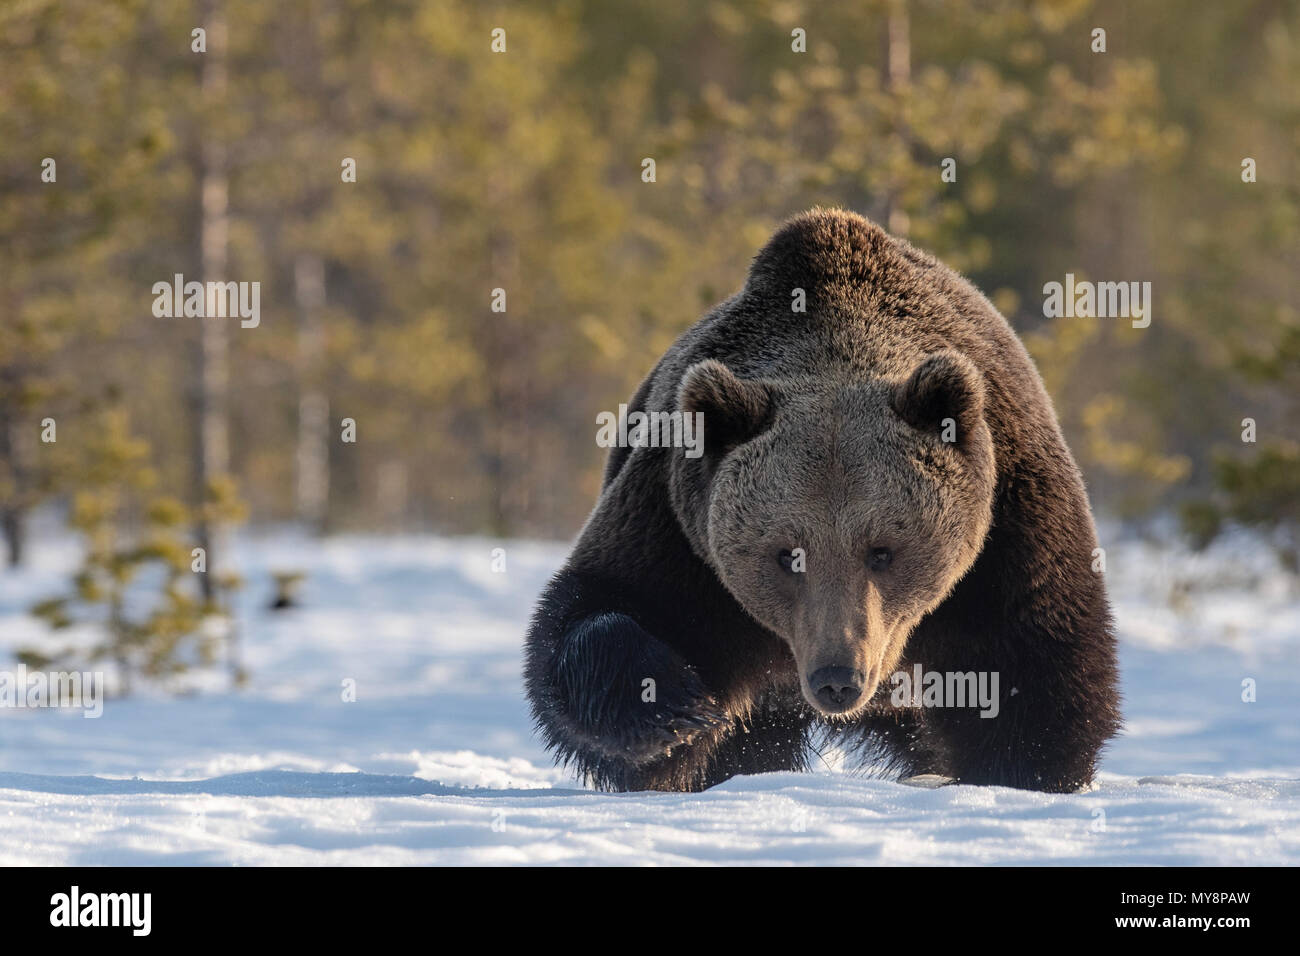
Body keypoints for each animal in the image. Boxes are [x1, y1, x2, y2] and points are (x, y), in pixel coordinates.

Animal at [524, 208, 1121, 794]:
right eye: (787, 554)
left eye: (882, 550)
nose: (838, 678)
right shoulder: (683, 535)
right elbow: (602, 607)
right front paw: (672, 704)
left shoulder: (1007, 528)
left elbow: (1032, 663)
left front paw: (1017, 773)